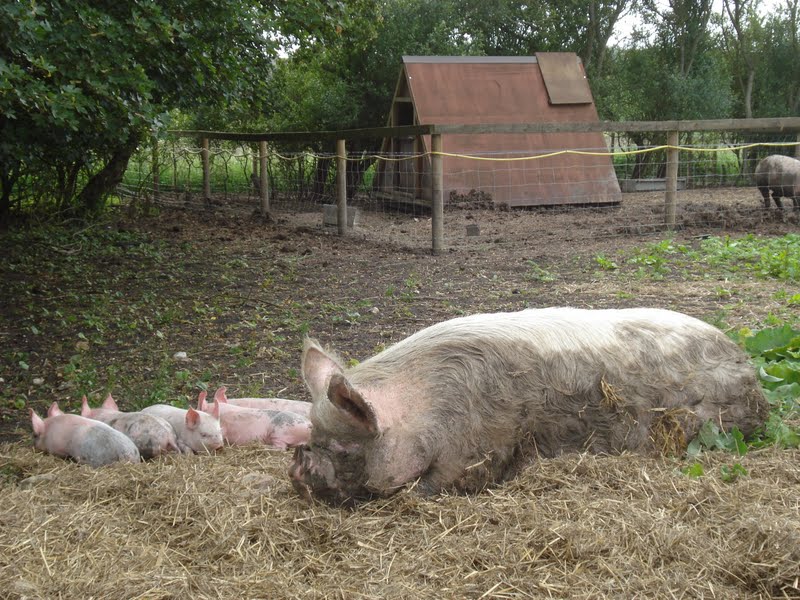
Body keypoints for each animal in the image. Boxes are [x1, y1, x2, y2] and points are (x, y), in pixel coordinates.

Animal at [289, 307, 769, 507]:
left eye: (347, 449)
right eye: (312, 436)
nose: (297, 468)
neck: (425, 413)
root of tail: (749, 367)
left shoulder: (478, 449)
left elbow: (436, 486)